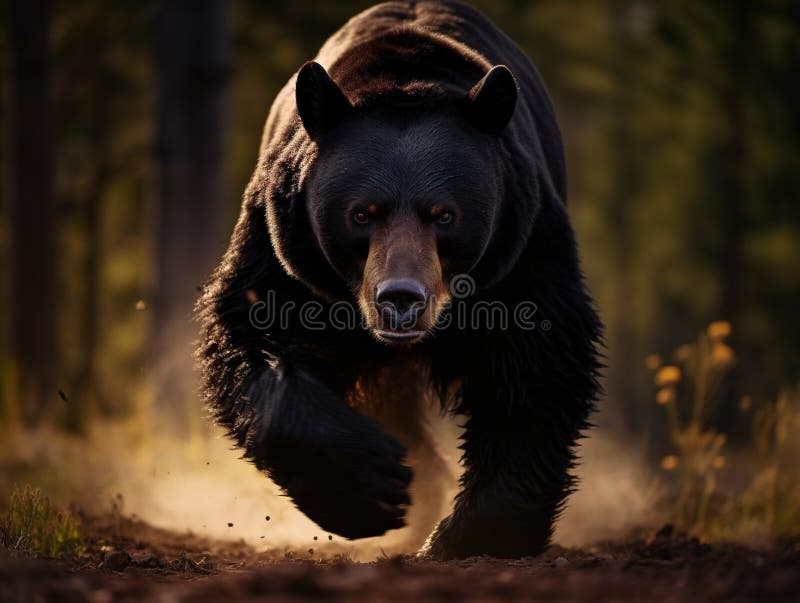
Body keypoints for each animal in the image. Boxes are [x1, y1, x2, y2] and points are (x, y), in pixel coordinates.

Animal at [196, 0, 602, 560]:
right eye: (361, 214)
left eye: (445, 215)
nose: (401, 299)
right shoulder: (288, 250)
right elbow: (256, 335)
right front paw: (372, 489)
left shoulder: (521, 247)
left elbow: (535, 368)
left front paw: (471, 533)